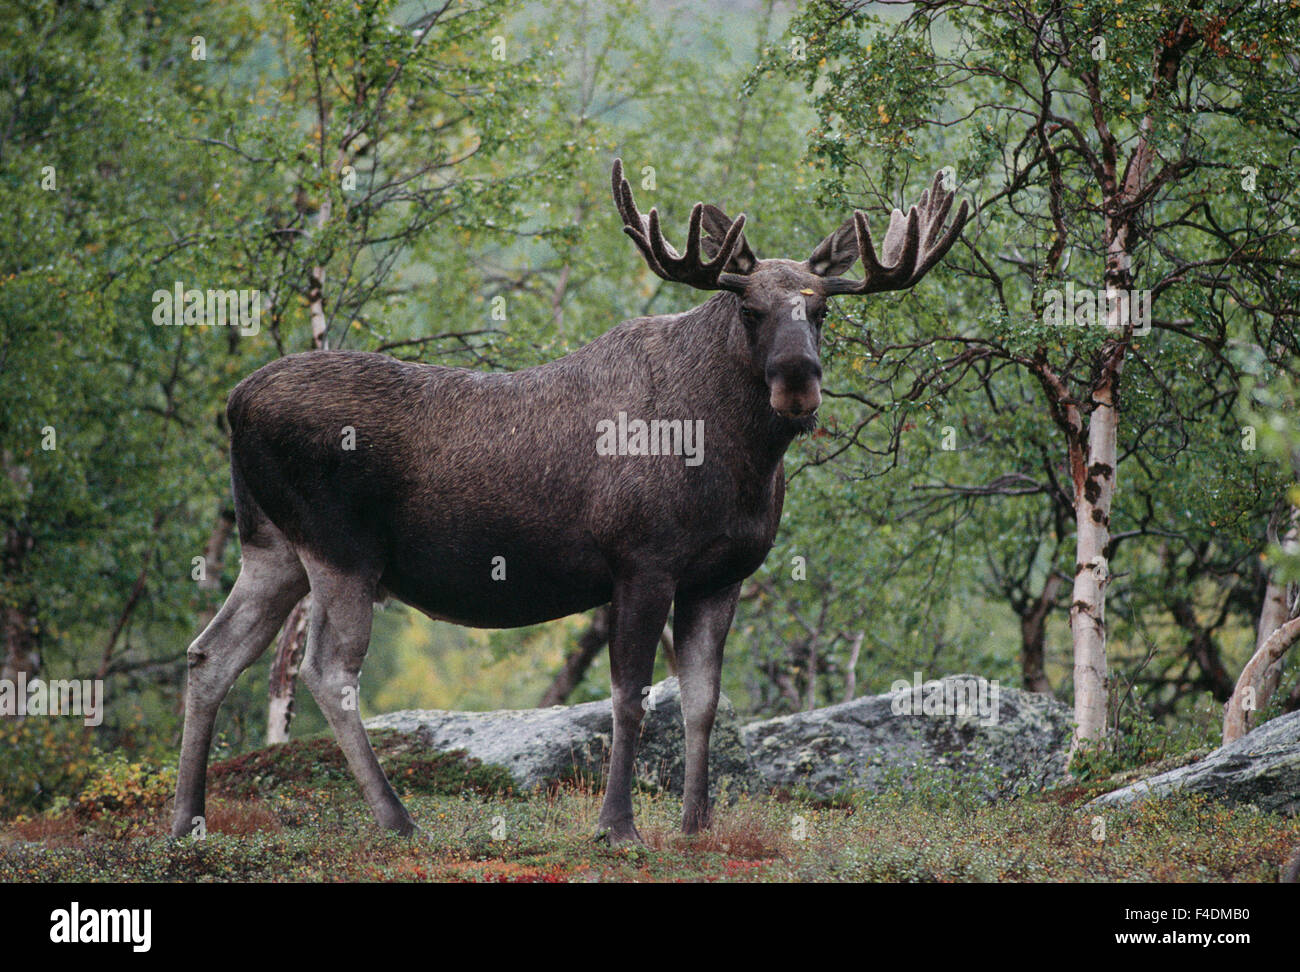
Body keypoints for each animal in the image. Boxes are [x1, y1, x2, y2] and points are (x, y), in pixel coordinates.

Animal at [171, 160, 969, 845]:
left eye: (822, 310)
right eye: (748, 308)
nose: (798, 381)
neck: (732, 459)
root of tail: (235, 404)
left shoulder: (721, 575)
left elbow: (704, 701)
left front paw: (695, 824)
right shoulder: (641, 561)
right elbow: (630, 696)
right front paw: (618, 827)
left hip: (272, 546)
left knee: (211, 653)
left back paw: (188, 819)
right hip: (341, 548)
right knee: (327, 671)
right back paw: (396, 819)